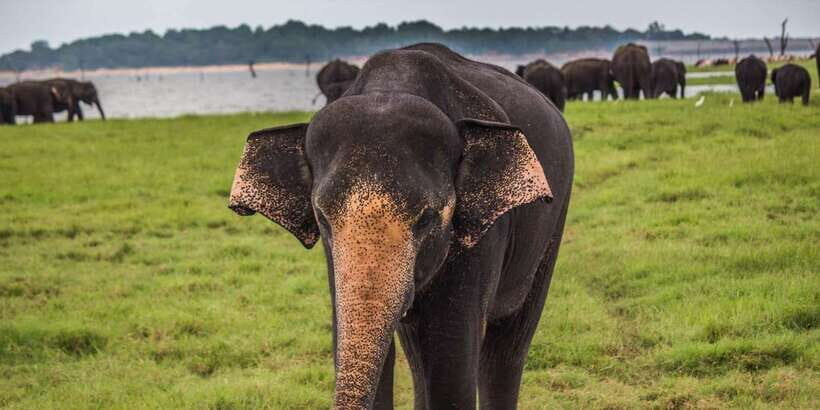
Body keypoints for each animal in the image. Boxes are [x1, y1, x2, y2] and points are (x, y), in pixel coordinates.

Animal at [228, 42, 573, 409]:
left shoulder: (481, 239)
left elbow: (450, 362)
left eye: (427, 218)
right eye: (322, 217)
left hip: (554, 218)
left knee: (507, 345)